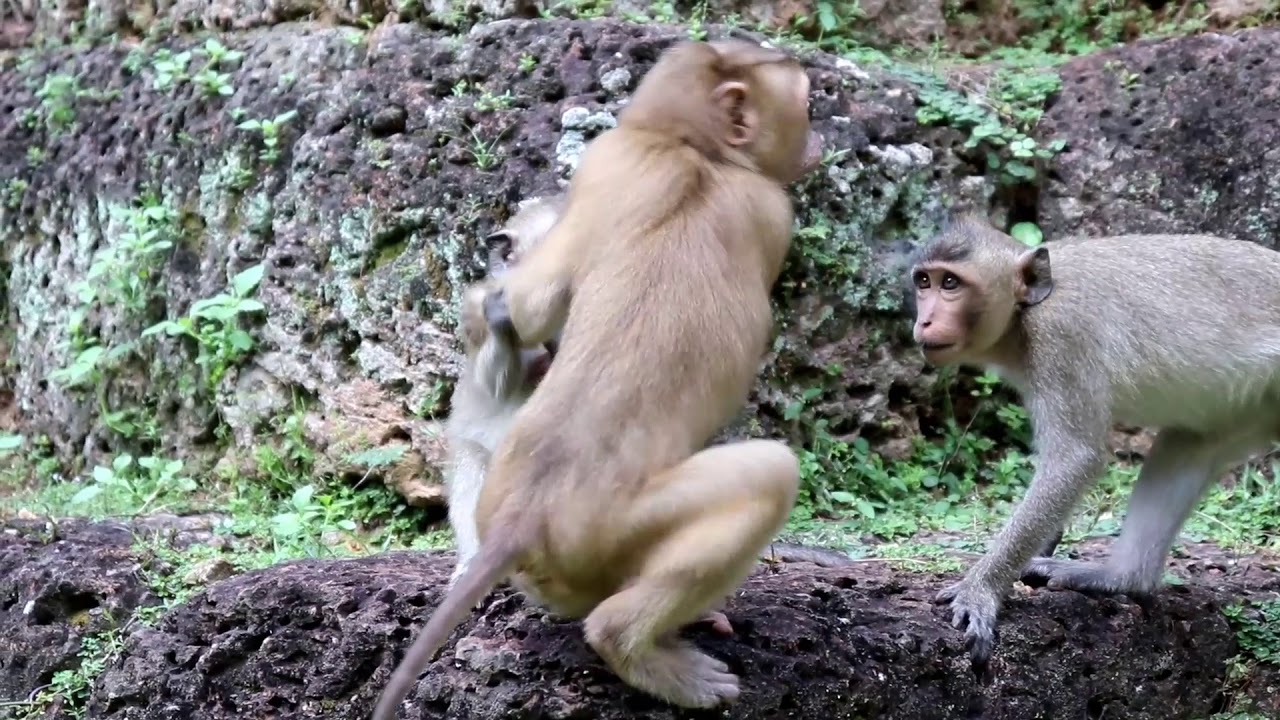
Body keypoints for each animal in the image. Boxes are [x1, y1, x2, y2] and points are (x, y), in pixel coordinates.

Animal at [908, 214, 1280, 668]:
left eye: (950, 283)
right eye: (924, 281)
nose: (924, 321)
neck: (1027, 310)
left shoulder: (1062, 337)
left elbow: (1074, 459)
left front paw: (981, 589)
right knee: (1188, 442)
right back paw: (1121, 578)